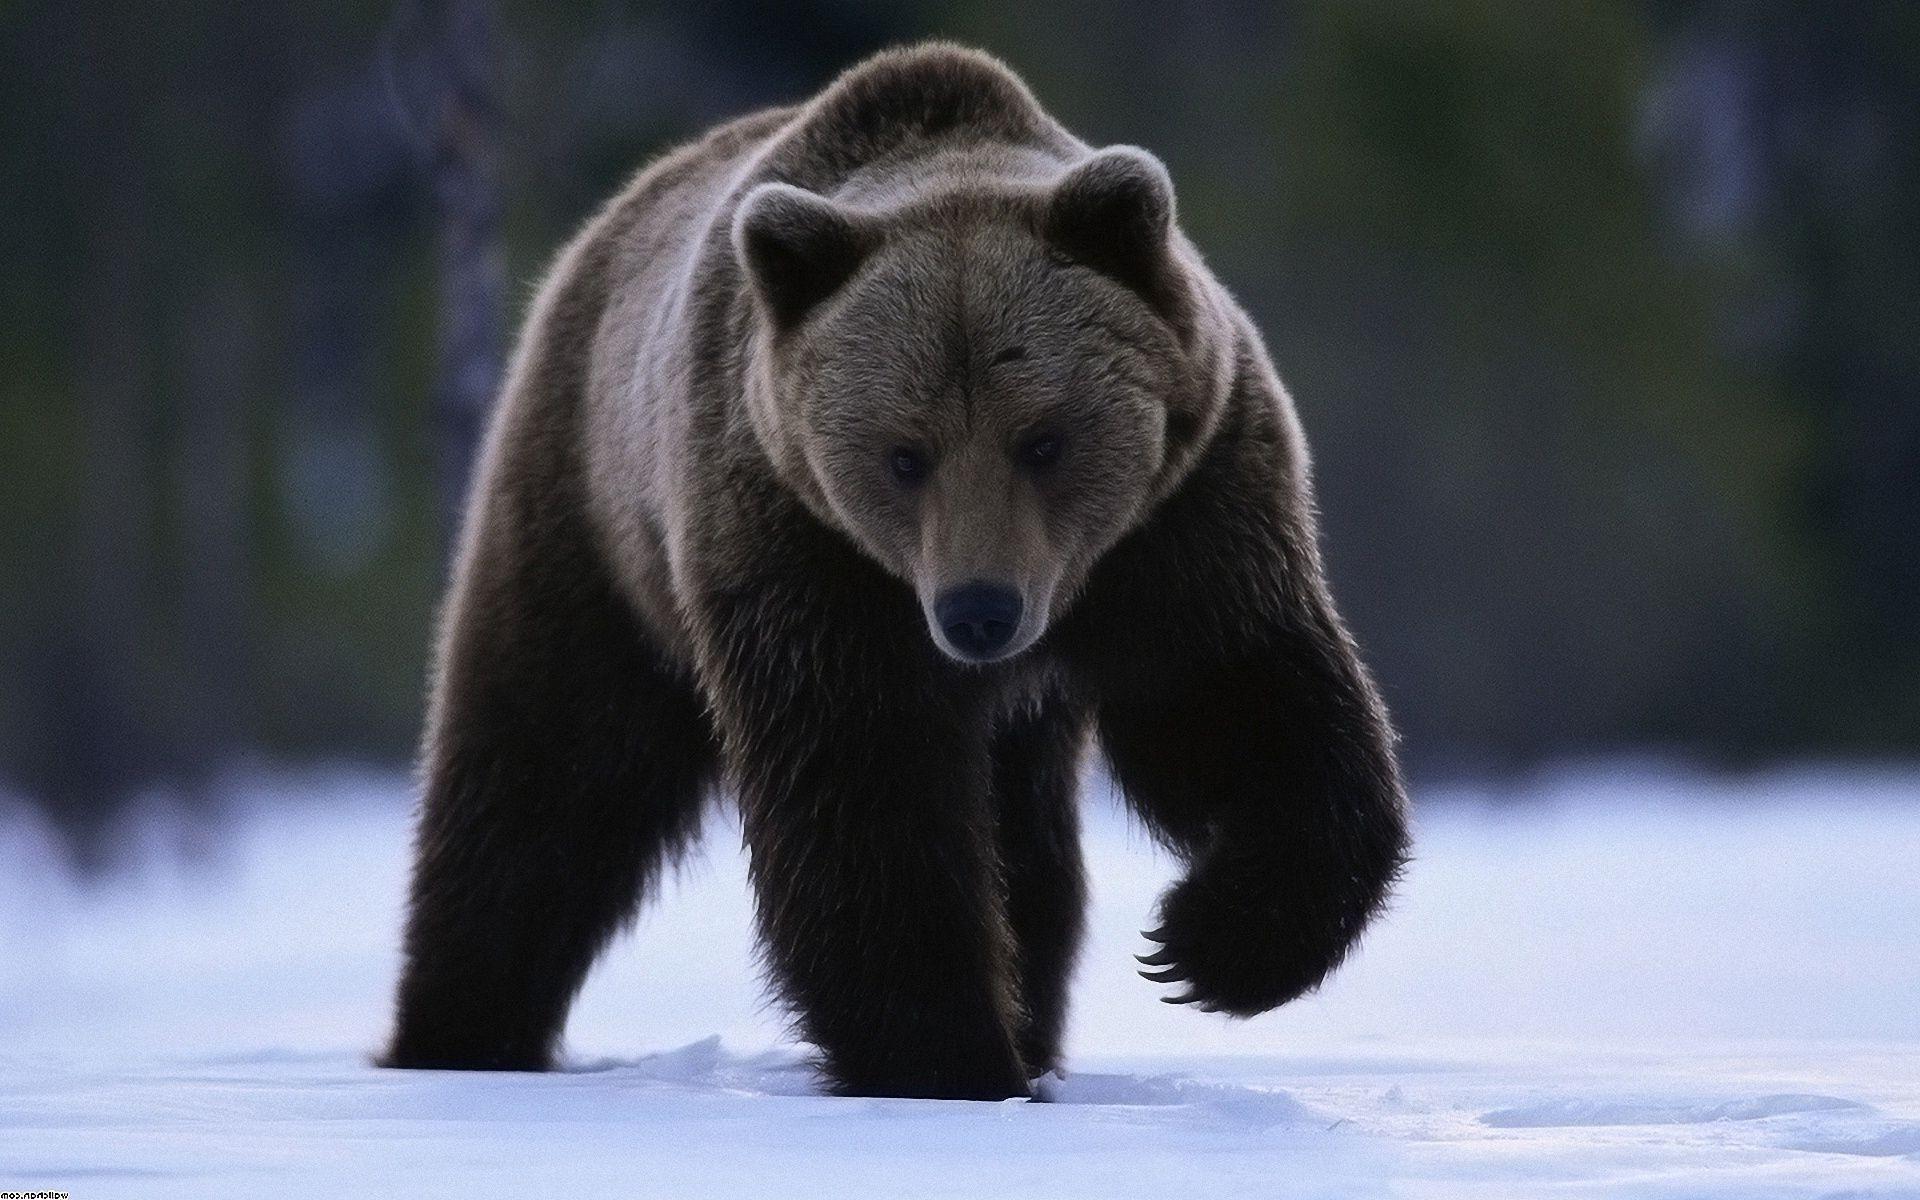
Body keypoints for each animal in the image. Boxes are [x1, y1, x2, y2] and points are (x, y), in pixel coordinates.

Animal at [383, 42, 1409, 1101]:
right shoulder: (801, 549)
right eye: (905, 454)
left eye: (1043, 439)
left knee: (1030, 849)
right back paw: (461, 1032)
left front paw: (1208, 944)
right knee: (546, 776)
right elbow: (865, 791)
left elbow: (1240, 699)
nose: (979, 611)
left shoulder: (1185, 517)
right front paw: (948, 1057)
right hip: (592, 523)